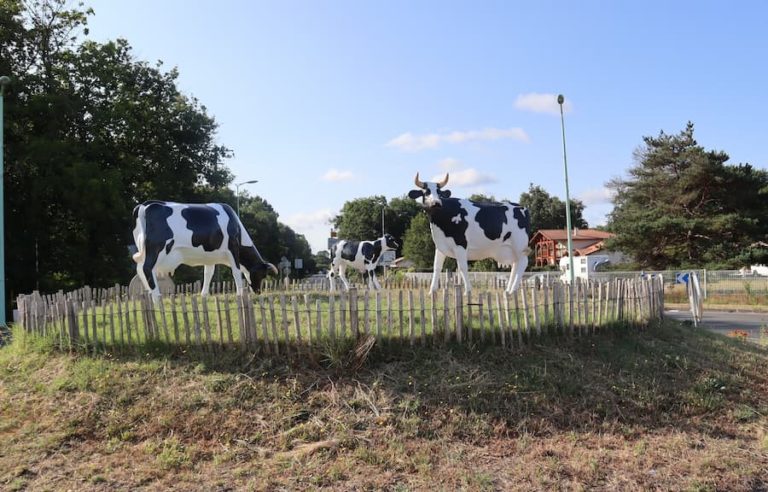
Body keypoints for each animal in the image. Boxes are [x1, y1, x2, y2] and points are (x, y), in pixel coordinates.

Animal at [132, 201, 277, 301]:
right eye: (262, 275)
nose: (258, 292)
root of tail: (145, 205)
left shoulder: (210, 257)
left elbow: (208, 274)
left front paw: (204, 295)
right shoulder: (233, 249)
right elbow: (236, 272)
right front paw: (240, 294)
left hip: (145, 251)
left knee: (140, 270)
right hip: (156, 248)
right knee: (146, 269)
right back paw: (157, 299)